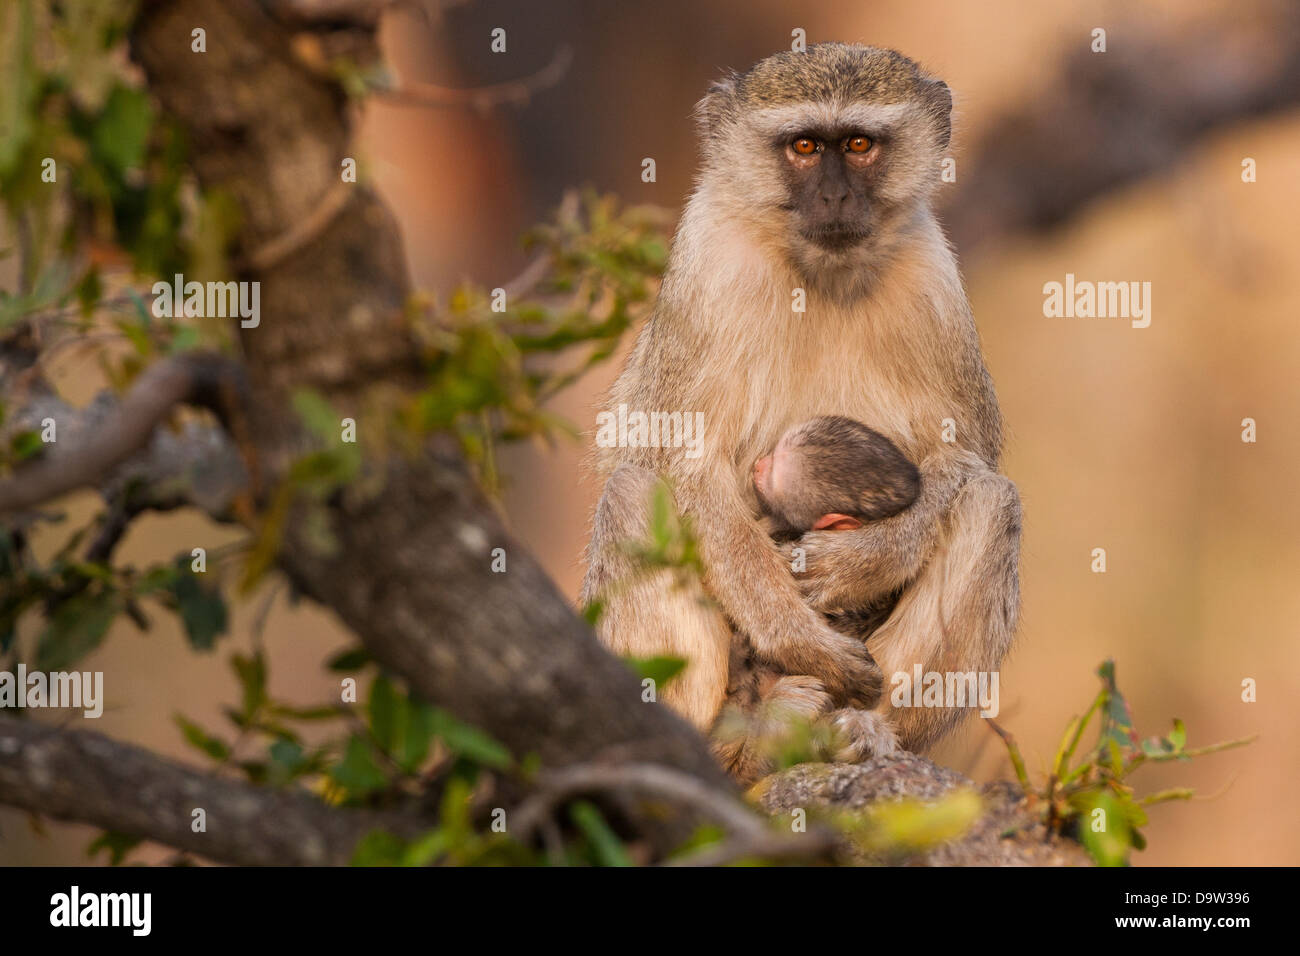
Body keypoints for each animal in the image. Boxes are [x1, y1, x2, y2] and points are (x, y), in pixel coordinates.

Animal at [581, 43, 1022, 778]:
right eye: (806, 146)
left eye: (861, 145)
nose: (836, 196)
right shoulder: (708, 266)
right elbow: (686, 464)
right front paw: (798, 635)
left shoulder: (933, 281)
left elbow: (963, 458)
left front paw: (857, 565)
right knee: (633, 492)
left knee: (993, 503)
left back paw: (854, 731)